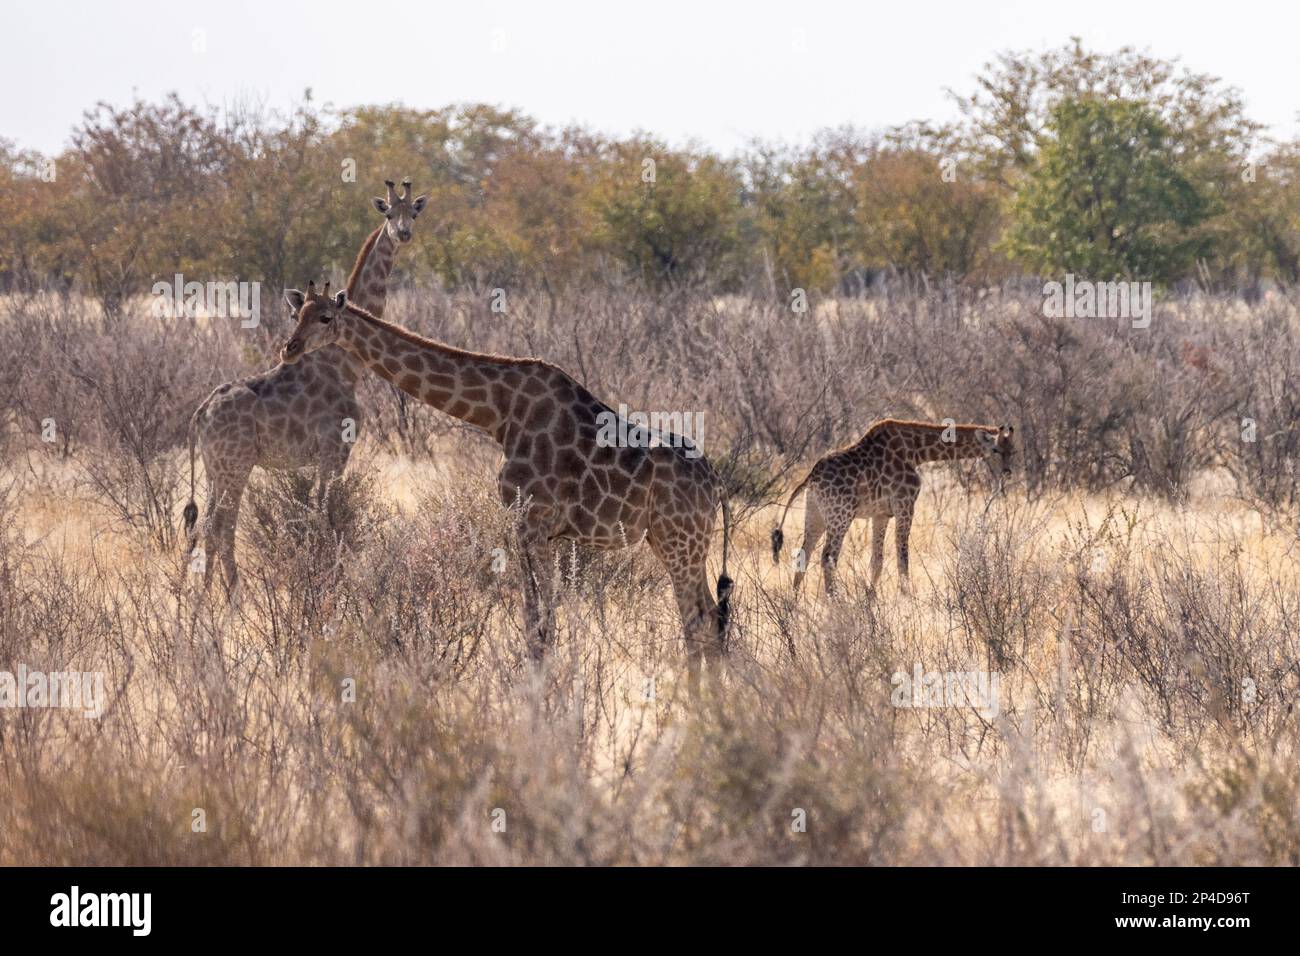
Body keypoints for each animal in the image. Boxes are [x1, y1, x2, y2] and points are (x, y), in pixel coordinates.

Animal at [182, 179, 427, 591]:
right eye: (389, 213)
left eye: (413, 213)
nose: (404, 234)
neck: (343, 365)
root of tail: (200, 413)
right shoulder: (335, 451)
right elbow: (327, 514)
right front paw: (329, 579)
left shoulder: (325, 456)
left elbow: (317, 511)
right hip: (236, 465)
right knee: (221, 526)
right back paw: (233, 596)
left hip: (215, 468)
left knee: (204, 527)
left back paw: (202, 598)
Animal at [278, 284, 733, 675]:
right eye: (296, 314)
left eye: (324, 317)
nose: (289, 349)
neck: (499, 413)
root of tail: (716, 482)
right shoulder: (541, 530)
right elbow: (540, 615)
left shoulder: (530, 522)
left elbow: (538, 621)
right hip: (674, 540)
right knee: (709, 616)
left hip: (679, 540)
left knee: (700, 619)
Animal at [770, 419, 1016, 595]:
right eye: (995, 450)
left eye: (1012, 450)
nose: (1007, 472)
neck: (917, 452)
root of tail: (811, 477)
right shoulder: (905, 505)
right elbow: (902, 557)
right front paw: (906, 597)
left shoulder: (881, 514)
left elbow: (876, 561)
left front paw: (871, 597)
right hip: (841, 515)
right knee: (828, 556)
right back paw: (834, 601)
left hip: (815, 514)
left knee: (804, 554)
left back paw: (794, 602)